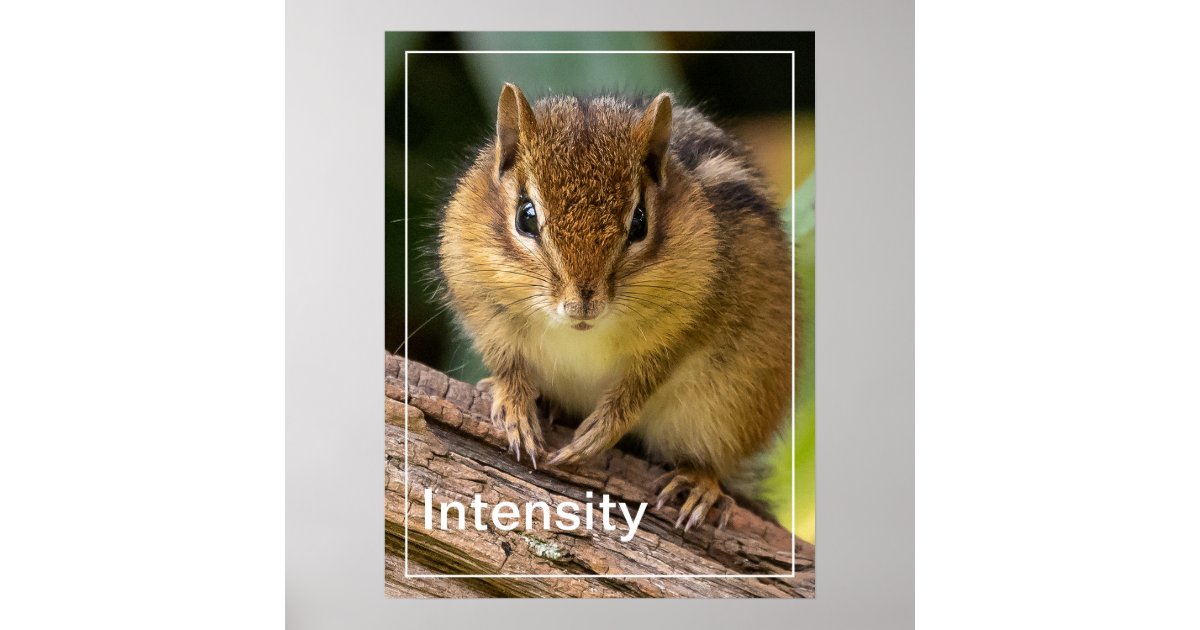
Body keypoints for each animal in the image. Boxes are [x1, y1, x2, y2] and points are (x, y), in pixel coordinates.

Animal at [436, 83, 794, 531]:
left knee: (714, 462)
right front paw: (515, 405)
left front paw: (602, 431)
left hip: (731, 407)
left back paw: (699, 484)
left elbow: (644, 381)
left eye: (639, 222)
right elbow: (506, 362)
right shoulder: (481, 302)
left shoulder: (691, 322)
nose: (582, 302)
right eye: (526, 217)